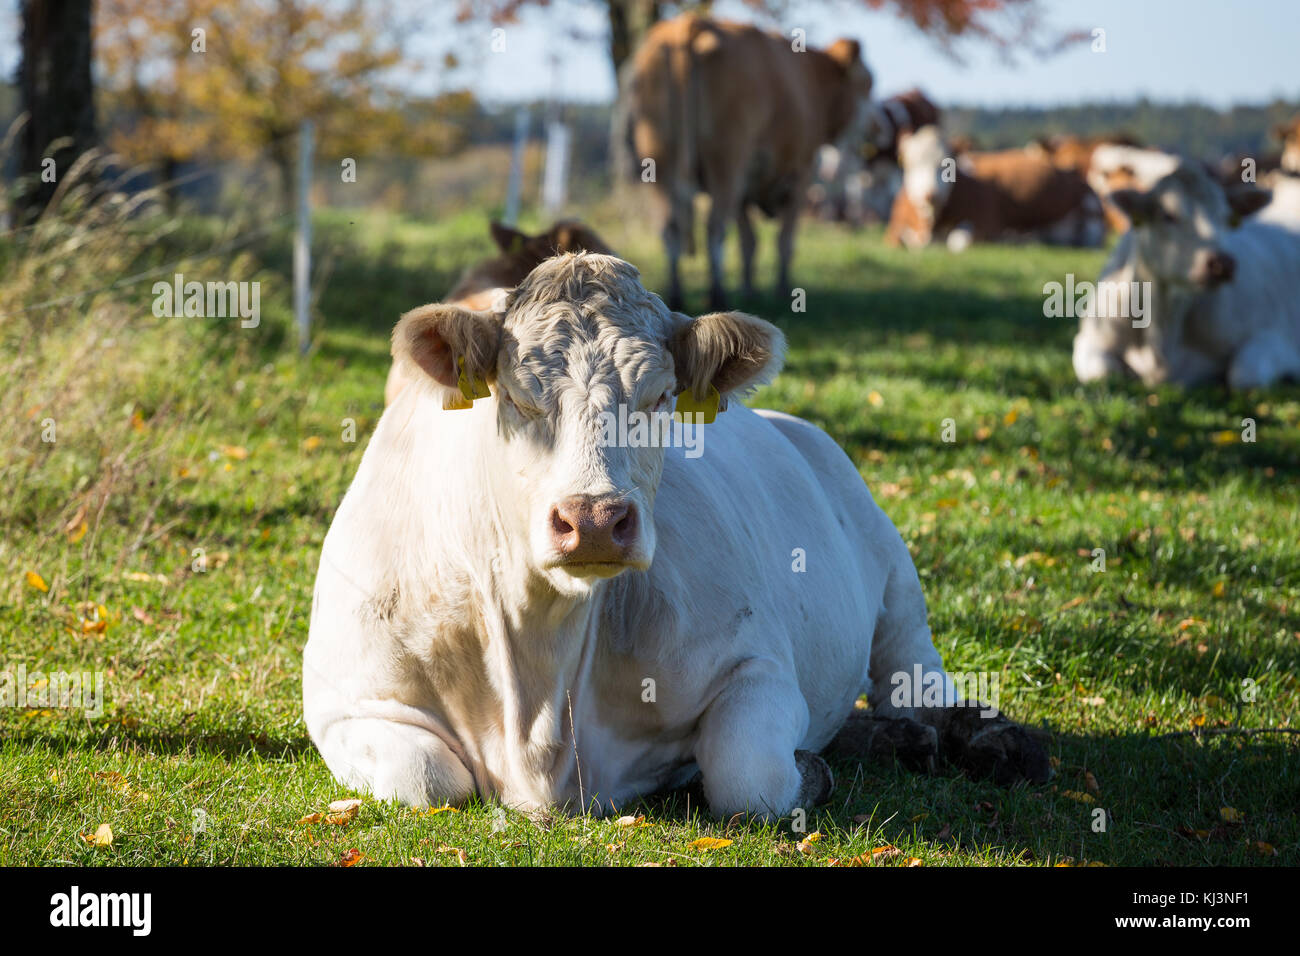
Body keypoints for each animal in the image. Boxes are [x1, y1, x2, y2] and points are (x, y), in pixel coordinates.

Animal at [304, 253, 1049, 820]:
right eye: (516, 398)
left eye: (659, 397)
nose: (594, 519)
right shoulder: (344, 702)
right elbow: (429, 780)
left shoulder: (755, 665)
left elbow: (748, 777)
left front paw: (802, 771)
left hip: (898, 583)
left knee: (916, 683)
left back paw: (976, 742)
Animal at [622, 14, 873, 310]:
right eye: (868, 84)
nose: (874, 127)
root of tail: (689, 22)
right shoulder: (801, 172)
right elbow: (784, 240)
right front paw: (782, 289)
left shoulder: (746, 184)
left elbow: (748, 241)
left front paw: (749, 289)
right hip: (727, 158)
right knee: (715, 228)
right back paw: (717, 296)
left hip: (659, 161)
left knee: (670, 228)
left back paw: (676, 297)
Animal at [886, 126, 1104, 250]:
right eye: (910, 164)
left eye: (946, 164)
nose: (930, 195)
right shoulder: (894, 228)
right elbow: (897, 240)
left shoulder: (988, 224)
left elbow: (957, 241)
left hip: (1090, 222)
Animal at [1072, 163, 1300, 389]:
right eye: (1168, 216)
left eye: (1225, 218)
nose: (1223, 262)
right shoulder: (1089, 339)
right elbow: (1103, 372)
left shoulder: (1274, 337)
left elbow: (1244, 375)